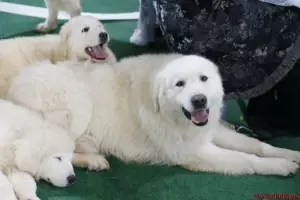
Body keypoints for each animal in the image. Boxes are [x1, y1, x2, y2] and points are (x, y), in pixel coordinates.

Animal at [6, 54, 300, 176]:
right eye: (179, 84)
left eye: (204, 79)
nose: (199, 100)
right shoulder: (193, 152)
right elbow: (247, 159)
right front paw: (280, 167)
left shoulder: (210, 132)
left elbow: (256, 146)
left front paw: (289, 154)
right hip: (77, 105)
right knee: (55, 147)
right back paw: (92, 161)